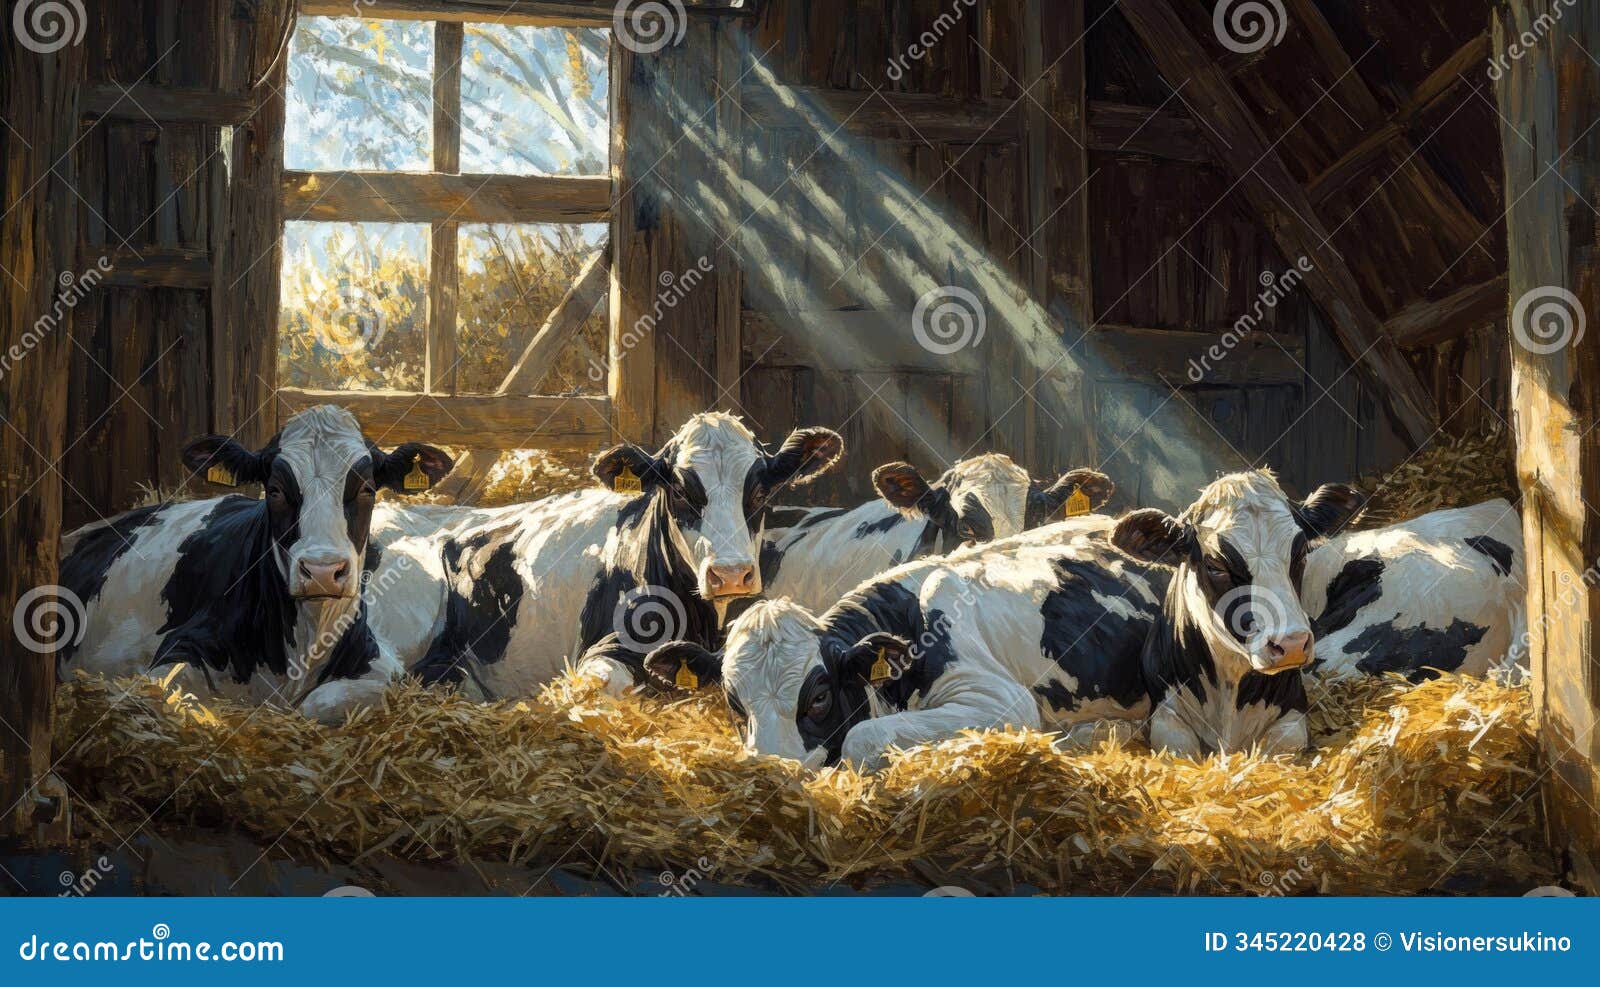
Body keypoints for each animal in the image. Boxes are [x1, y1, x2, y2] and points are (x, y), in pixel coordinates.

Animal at [57, 405, 454, 722]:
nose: (322, 571)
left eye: (367, 489)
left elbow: (317, 705)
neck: (301, 646)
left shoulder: (381, 664)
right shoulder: (179, 649)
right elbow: (185, 698)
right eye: (275, 490)